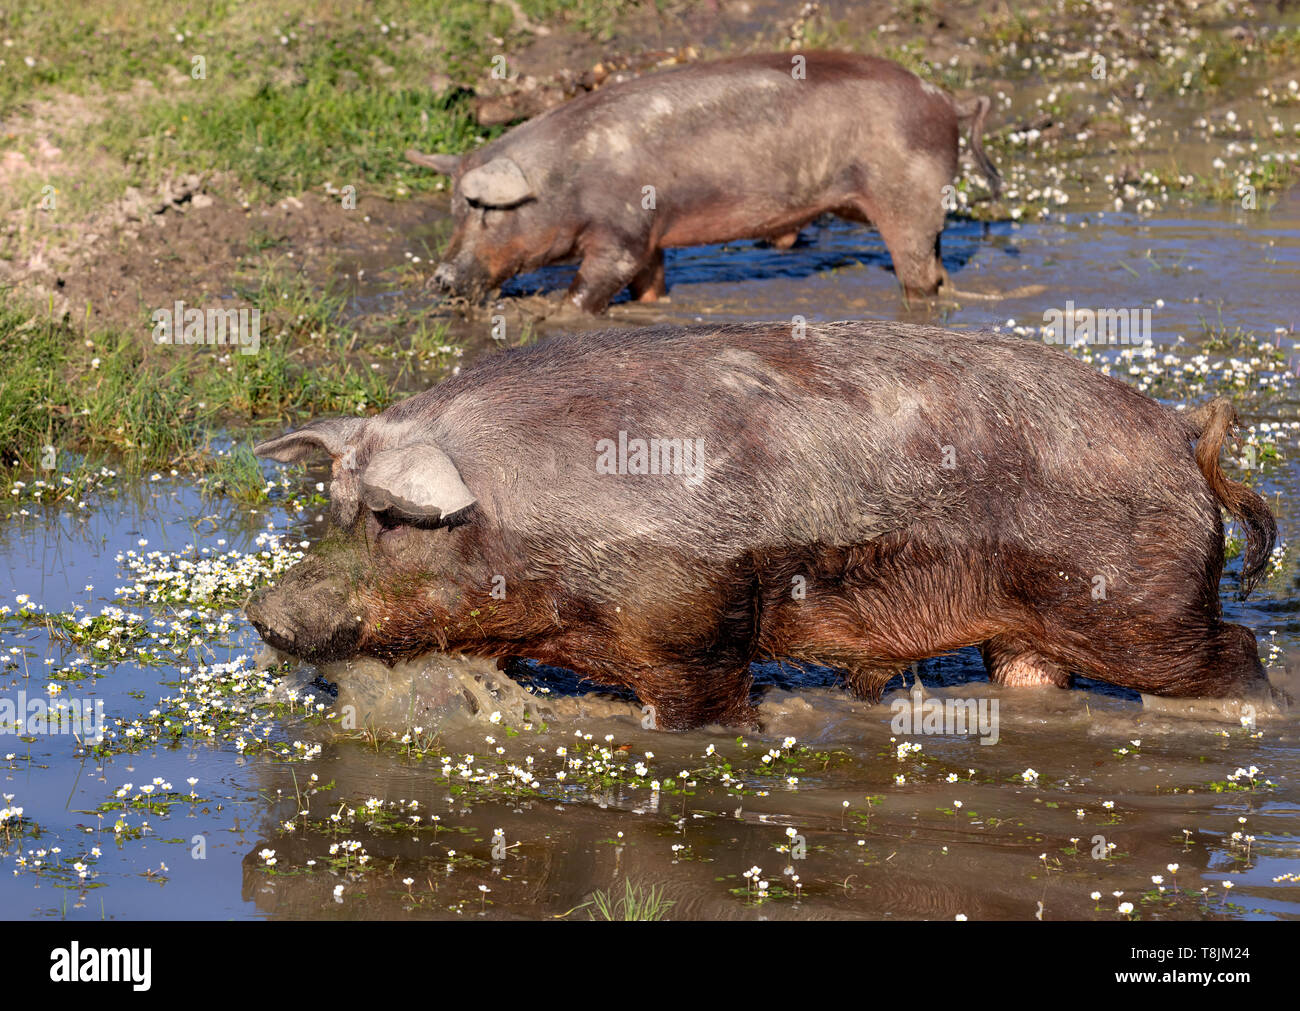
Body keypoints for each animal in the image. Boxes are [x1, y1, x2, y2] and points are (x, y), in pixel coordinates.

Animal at [247, 321, 1276, 731]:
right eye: (333, 509)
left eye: (390, 519)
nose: (264, 611)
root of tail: (1186, 434)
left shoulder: (690, 624)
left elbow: (703, 707)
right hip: (1032, 629)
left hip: (1142, 607)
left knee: (1238, 651)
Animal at [406, 51, 1002, 311]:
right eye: (455, 211)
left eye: (486, 211)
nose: (438, 279)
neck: (565, 182)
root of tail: (949, 100)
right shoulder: (649, 235)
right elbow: (649, 282)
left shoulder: (620, 232)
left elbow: (592, 284)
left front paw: (552, 313)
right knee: (938, 269)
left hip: (908, 201)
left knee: (921, 274)